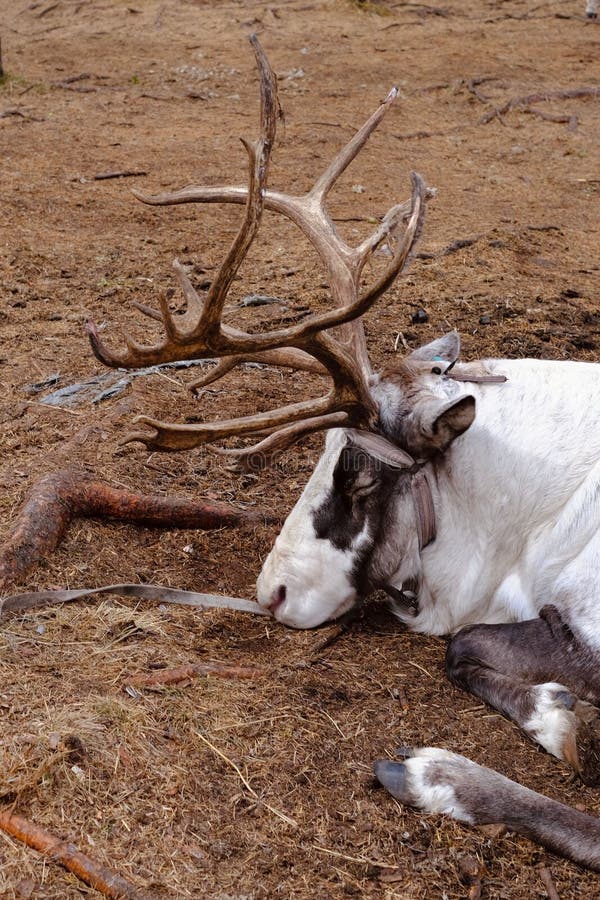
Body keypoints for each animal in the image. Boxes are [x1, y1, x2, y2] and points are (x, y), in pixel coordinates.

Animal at [5, 37, 599, 870]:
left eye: (357, 481)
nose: (270, 594)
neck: (536, 506)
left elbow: (467, 644)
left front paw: (554, 714)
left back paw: (440, 773)